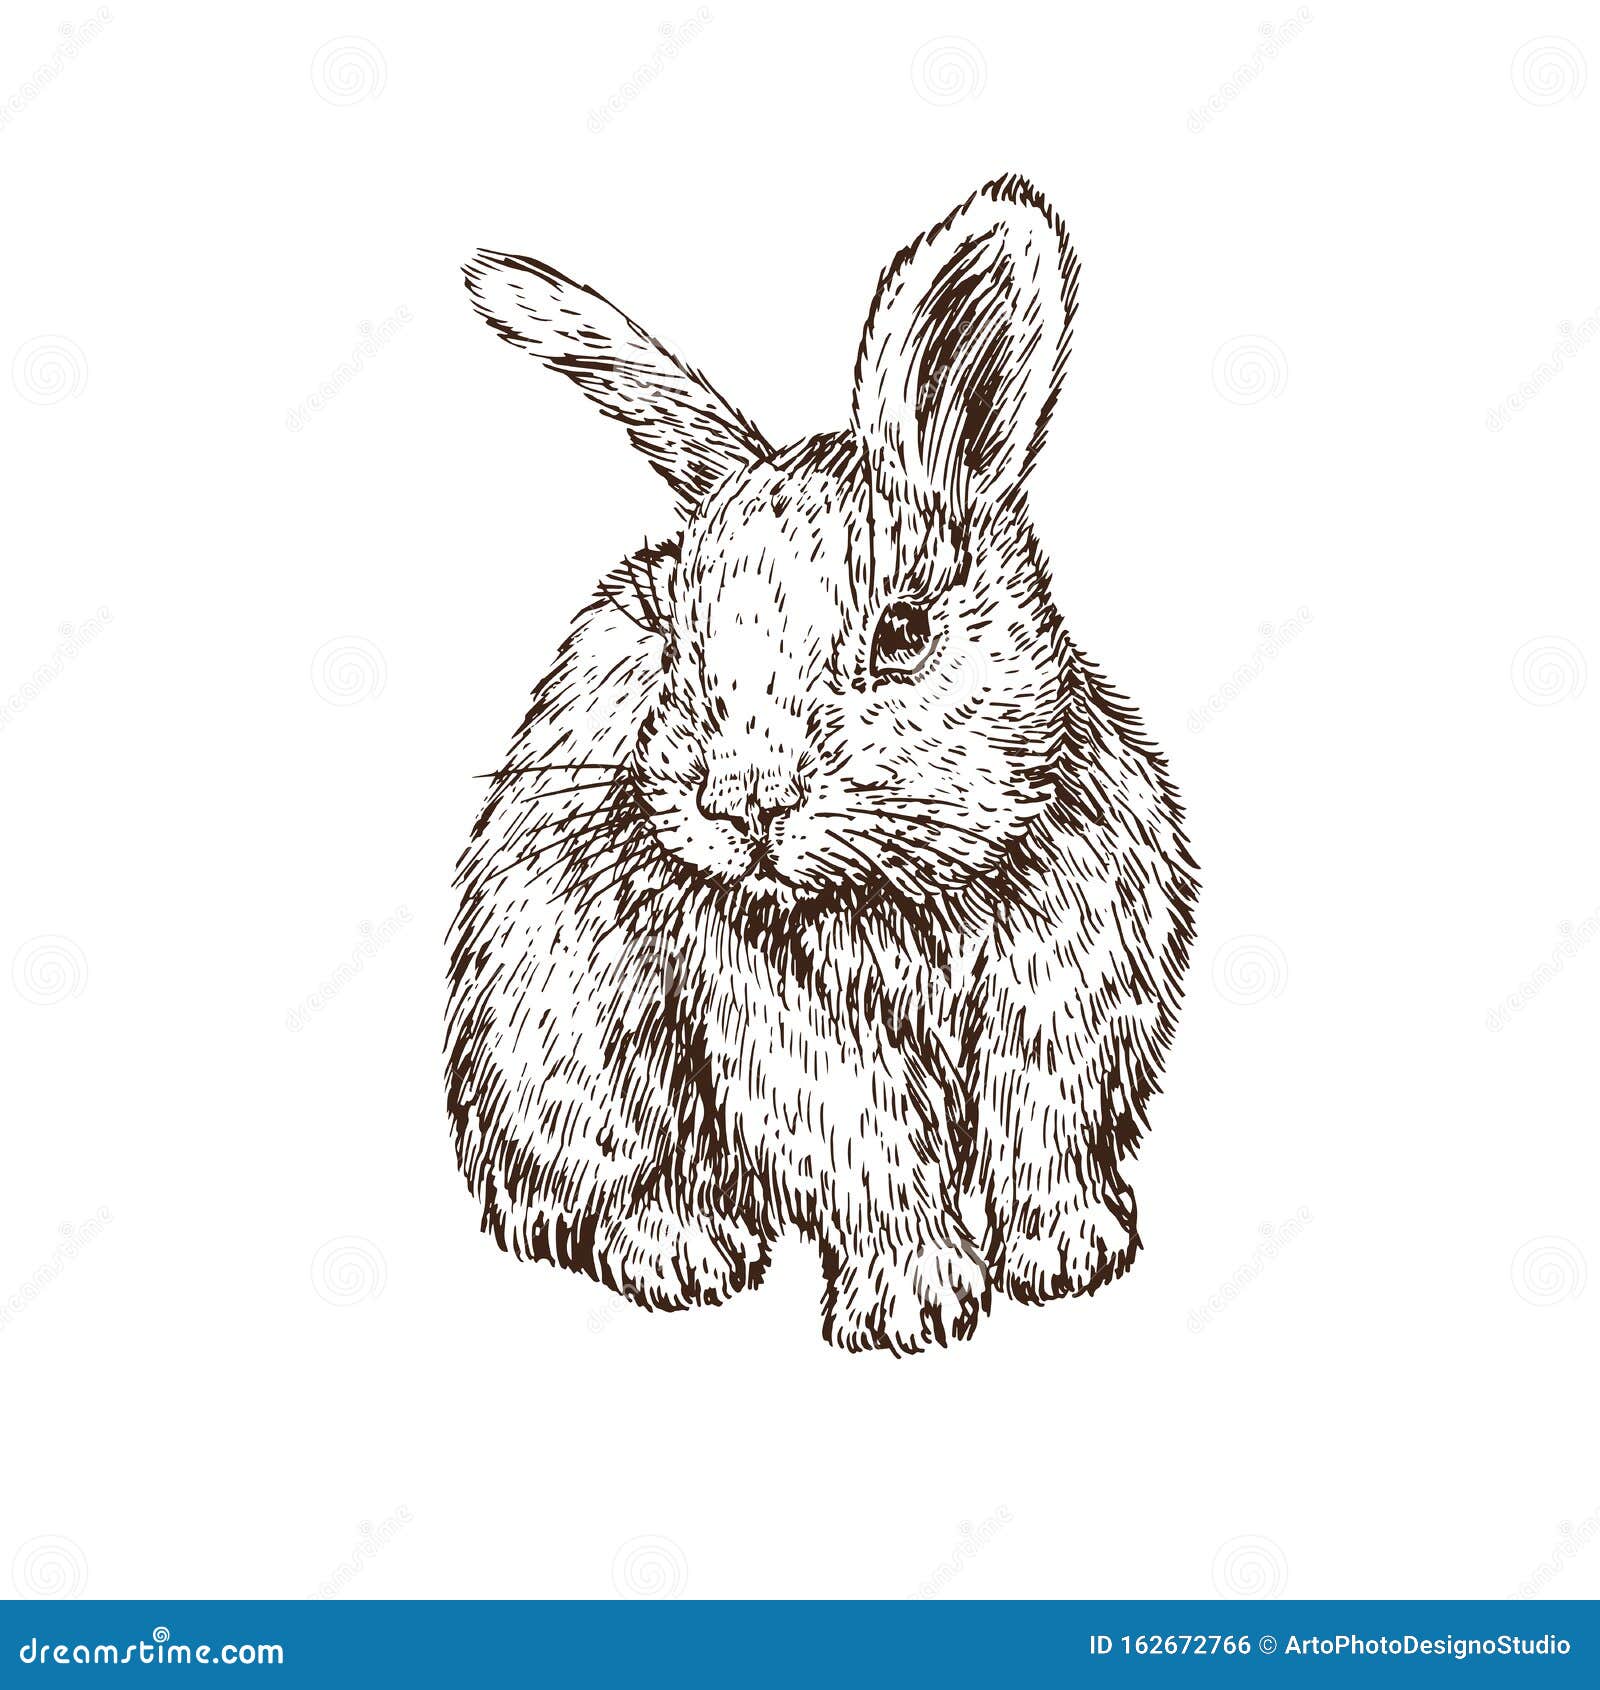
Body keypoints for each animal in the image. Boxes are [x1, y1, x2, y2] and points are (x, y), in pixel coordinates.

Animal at [447, 175, 1198, 1355]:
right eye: (680, 635)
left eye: (904, 630)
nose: (742, 804)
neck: (912, 889)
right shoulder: (790, 1041)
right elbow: (872, 1156)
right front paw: (915, 1307)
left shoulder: (1068, 999)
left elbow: (1044, 1135)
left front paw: (1069, 1255)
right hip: (561, 1041)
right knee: (592, 1182)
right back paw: (680, 1253)